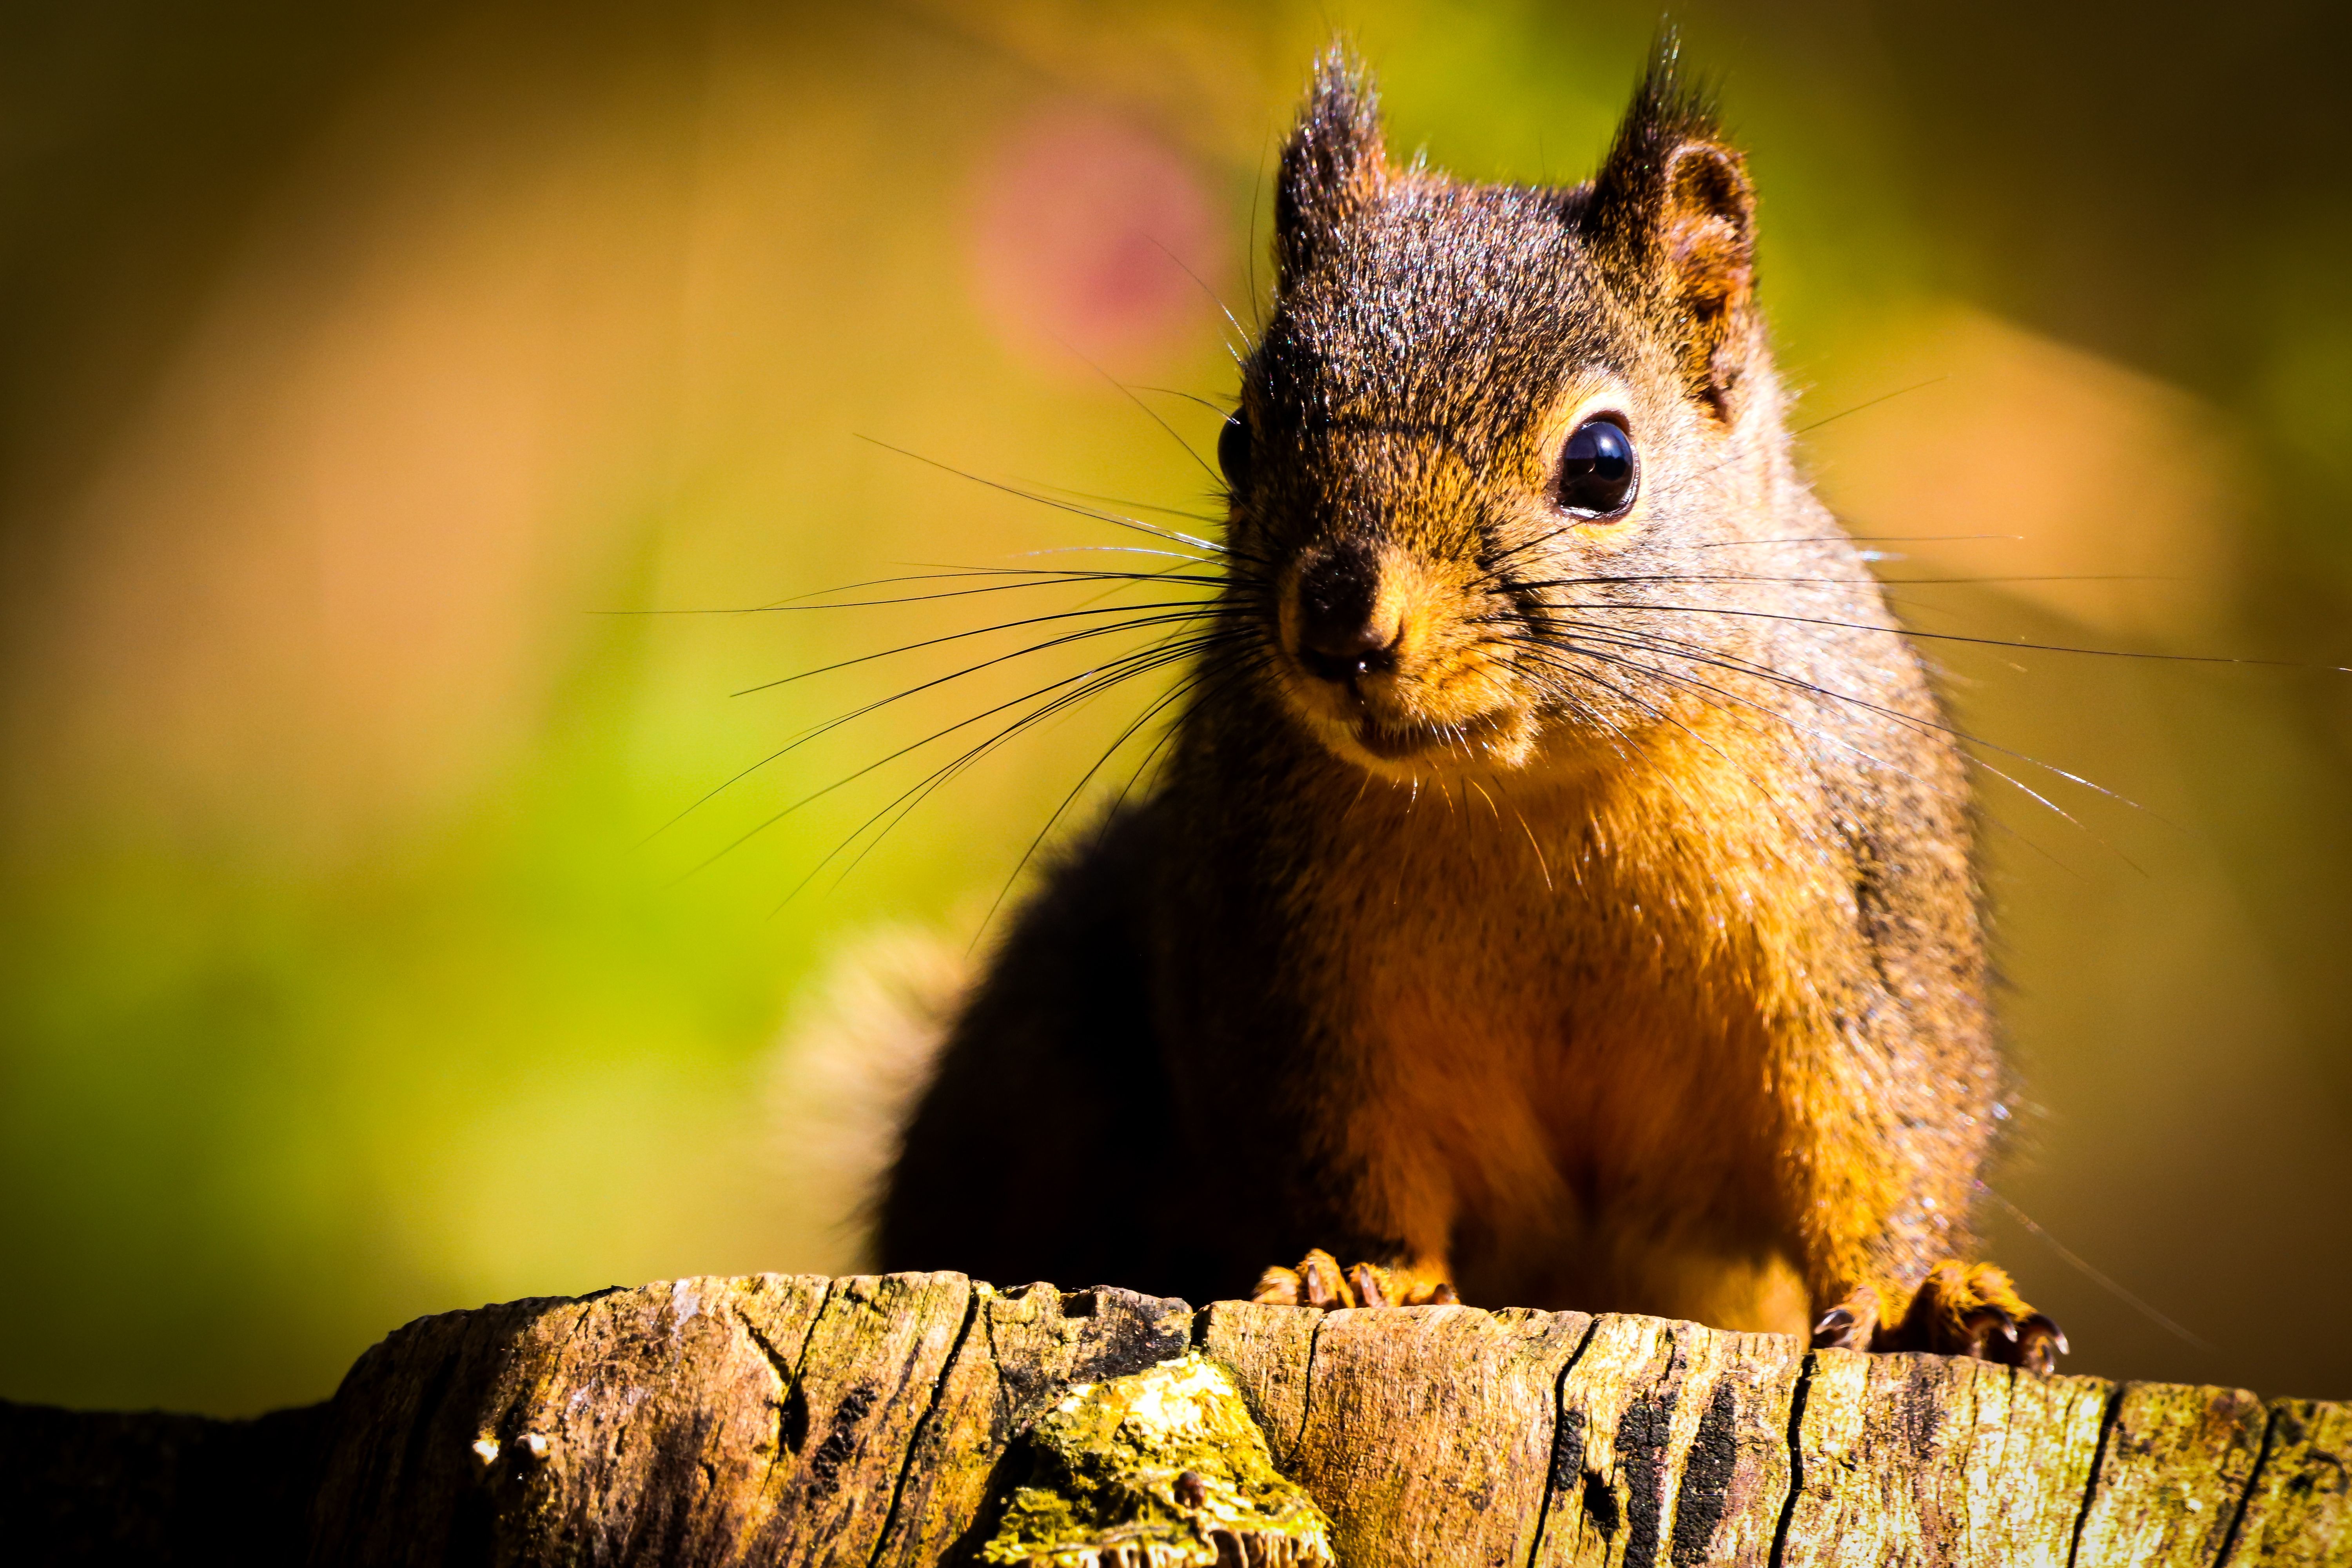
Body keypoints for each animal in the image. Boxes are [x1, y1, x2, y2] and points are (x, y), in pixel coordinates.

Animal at [874, 40, 2064, 1372]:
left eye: (1603, 464)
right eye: (1237, 441)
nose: (1339, 621)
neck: (1536, 795)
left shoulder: (1869, 922)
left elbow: (1886, 1132)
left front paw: (1920, 1299)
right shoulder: (1294, 990)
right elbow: (1344, 1157)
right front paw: (1360, 1274)